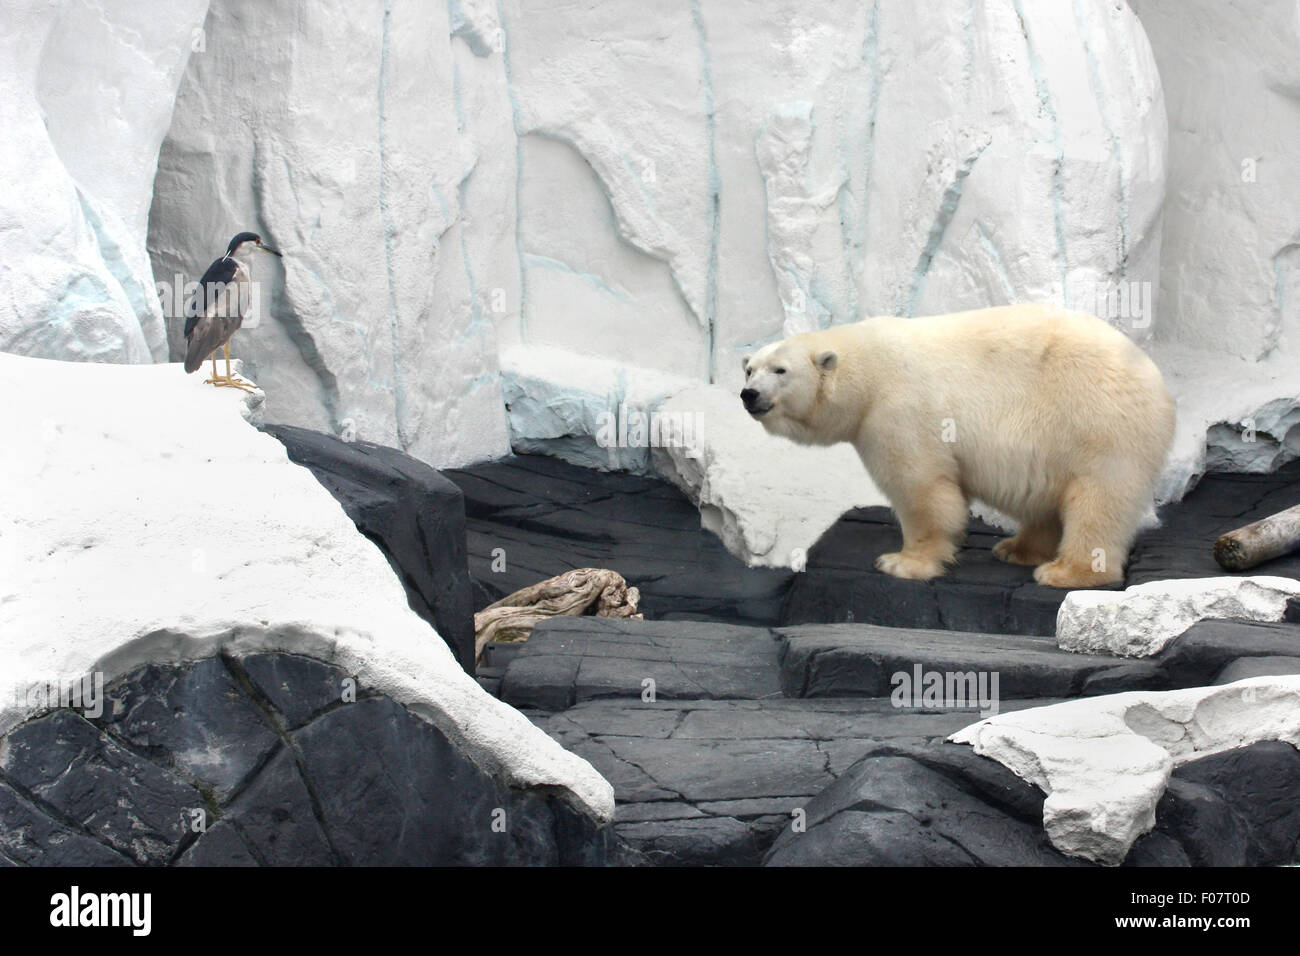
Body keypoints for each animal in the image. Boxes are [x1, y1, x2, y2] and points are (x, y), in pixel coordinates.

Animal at [740, 303, 1175, 589]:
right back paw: (1016, 548)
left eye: (780, 370)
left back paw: (1066, 571)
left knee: (1098, 500)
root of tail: (1158, 383)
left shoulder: (898, 412)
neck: (869, 371)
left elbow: (921, 488)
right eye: (749, 369)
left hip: (1098, 424)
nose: (749, 394)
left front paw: (901, 562)